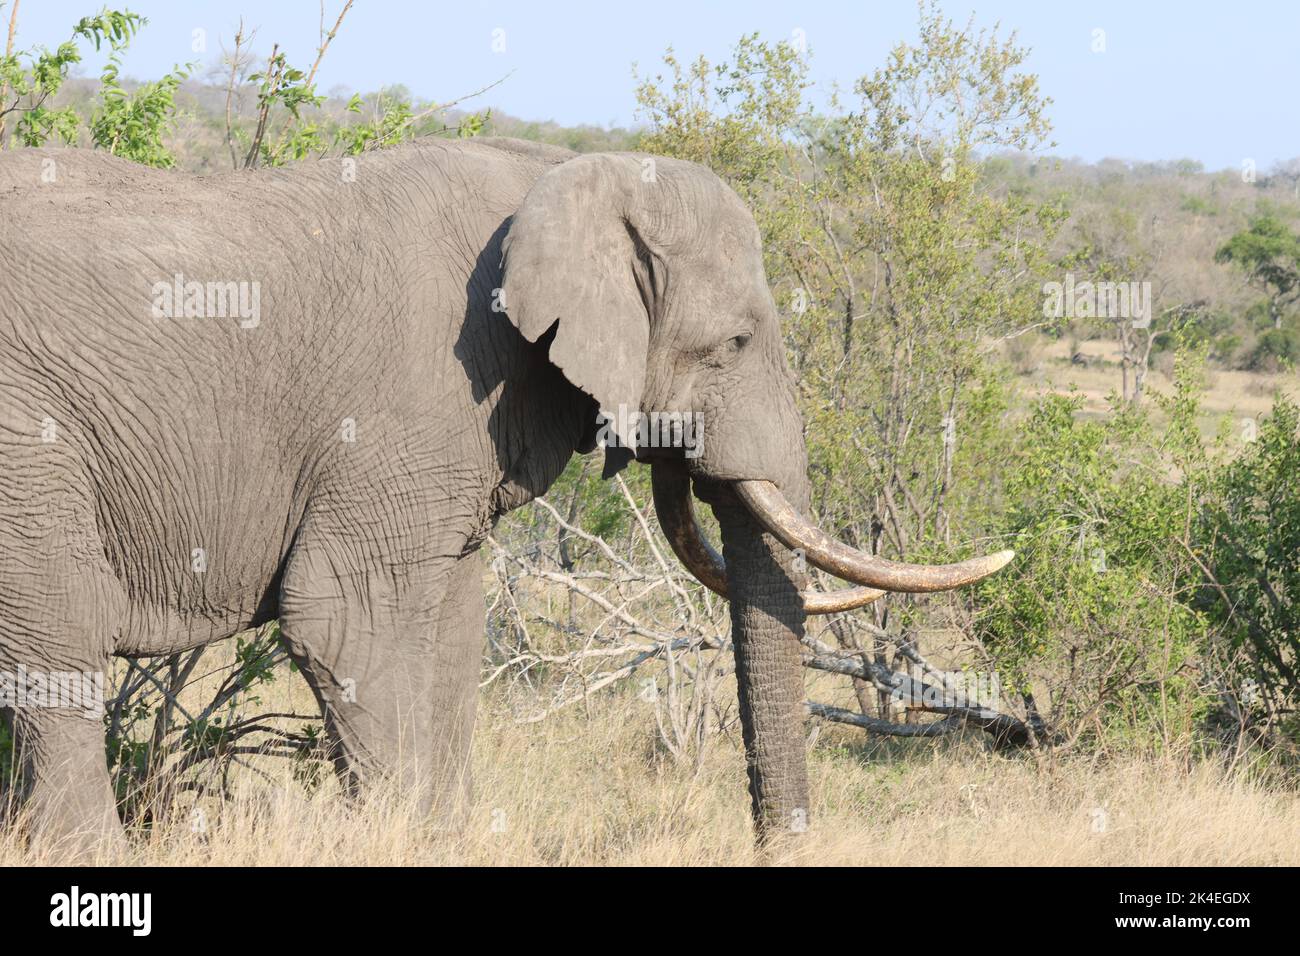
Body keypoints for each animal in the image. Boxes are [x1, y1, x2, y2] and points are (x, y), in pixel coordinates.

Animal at [0, 137, 1011, 854]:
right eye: (731, 345)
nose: (776, 846)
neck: (557, 170)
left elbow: (451, 627)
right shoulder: (404, 405)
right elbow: (343, 621)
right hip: (30, 448)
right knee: (60, 642)